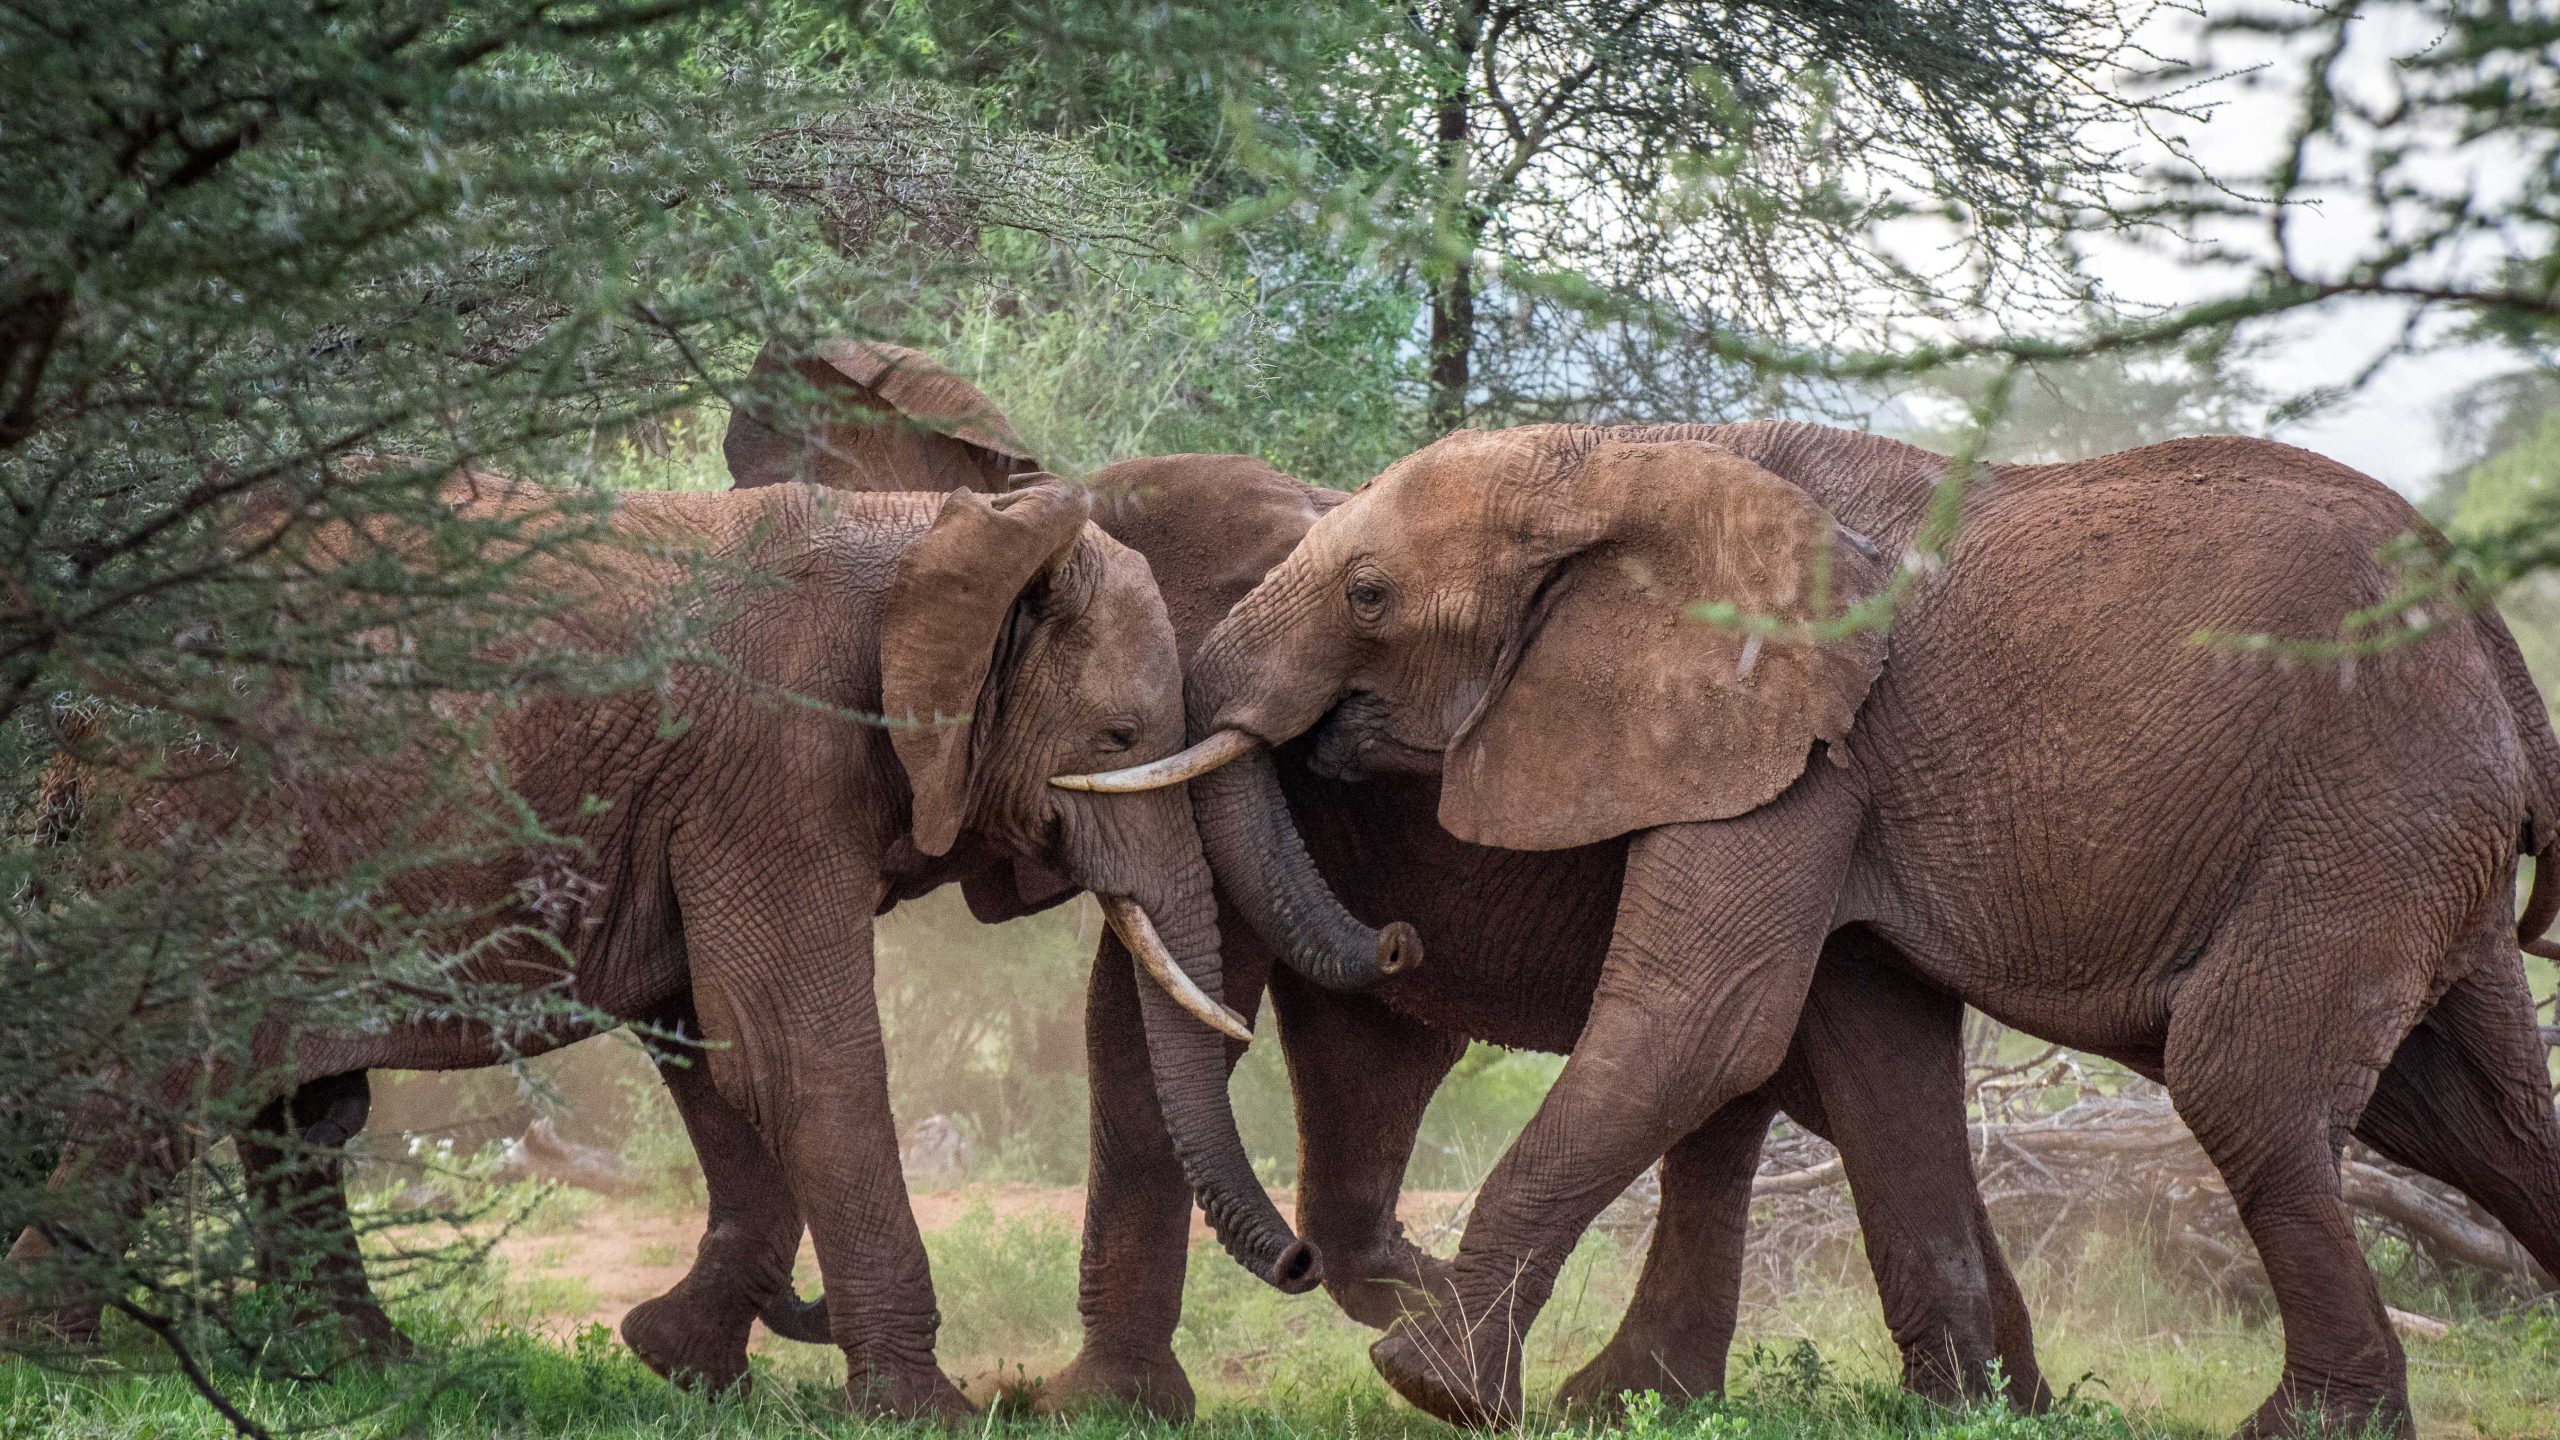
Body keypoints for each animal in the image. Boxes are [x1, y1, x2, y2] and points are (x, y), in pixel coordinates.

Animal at [5, 471, 1312, 1420]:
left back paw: (373, 1369)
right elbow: (794, 1053)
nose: (1304, 1268)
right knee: (172, 1075)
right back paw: (65, 1367)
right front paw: (924, 1414)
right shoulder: (777, 757)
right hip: (206, 825)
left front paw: (678, 1363)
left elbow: (716, 1054)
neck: (950, 534)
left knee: (294, 1107)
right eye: (1121, 735)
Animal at [1087, 420, 2560, 1436]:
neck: (1632, 459)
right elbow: (1869, 1054)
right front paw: (1965, 1412)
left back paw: (2304, 1425)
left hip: (2364, 812)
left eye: (1369, 596)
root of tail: (2495, 643)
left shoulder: (1787, 742)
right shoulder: (1824, 764)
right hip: (2414, 834)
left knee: (2245, 1078)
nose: (1396, 941)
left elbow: (1704, 1019)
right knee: (2476, 1117)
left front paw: (1432, 1386)